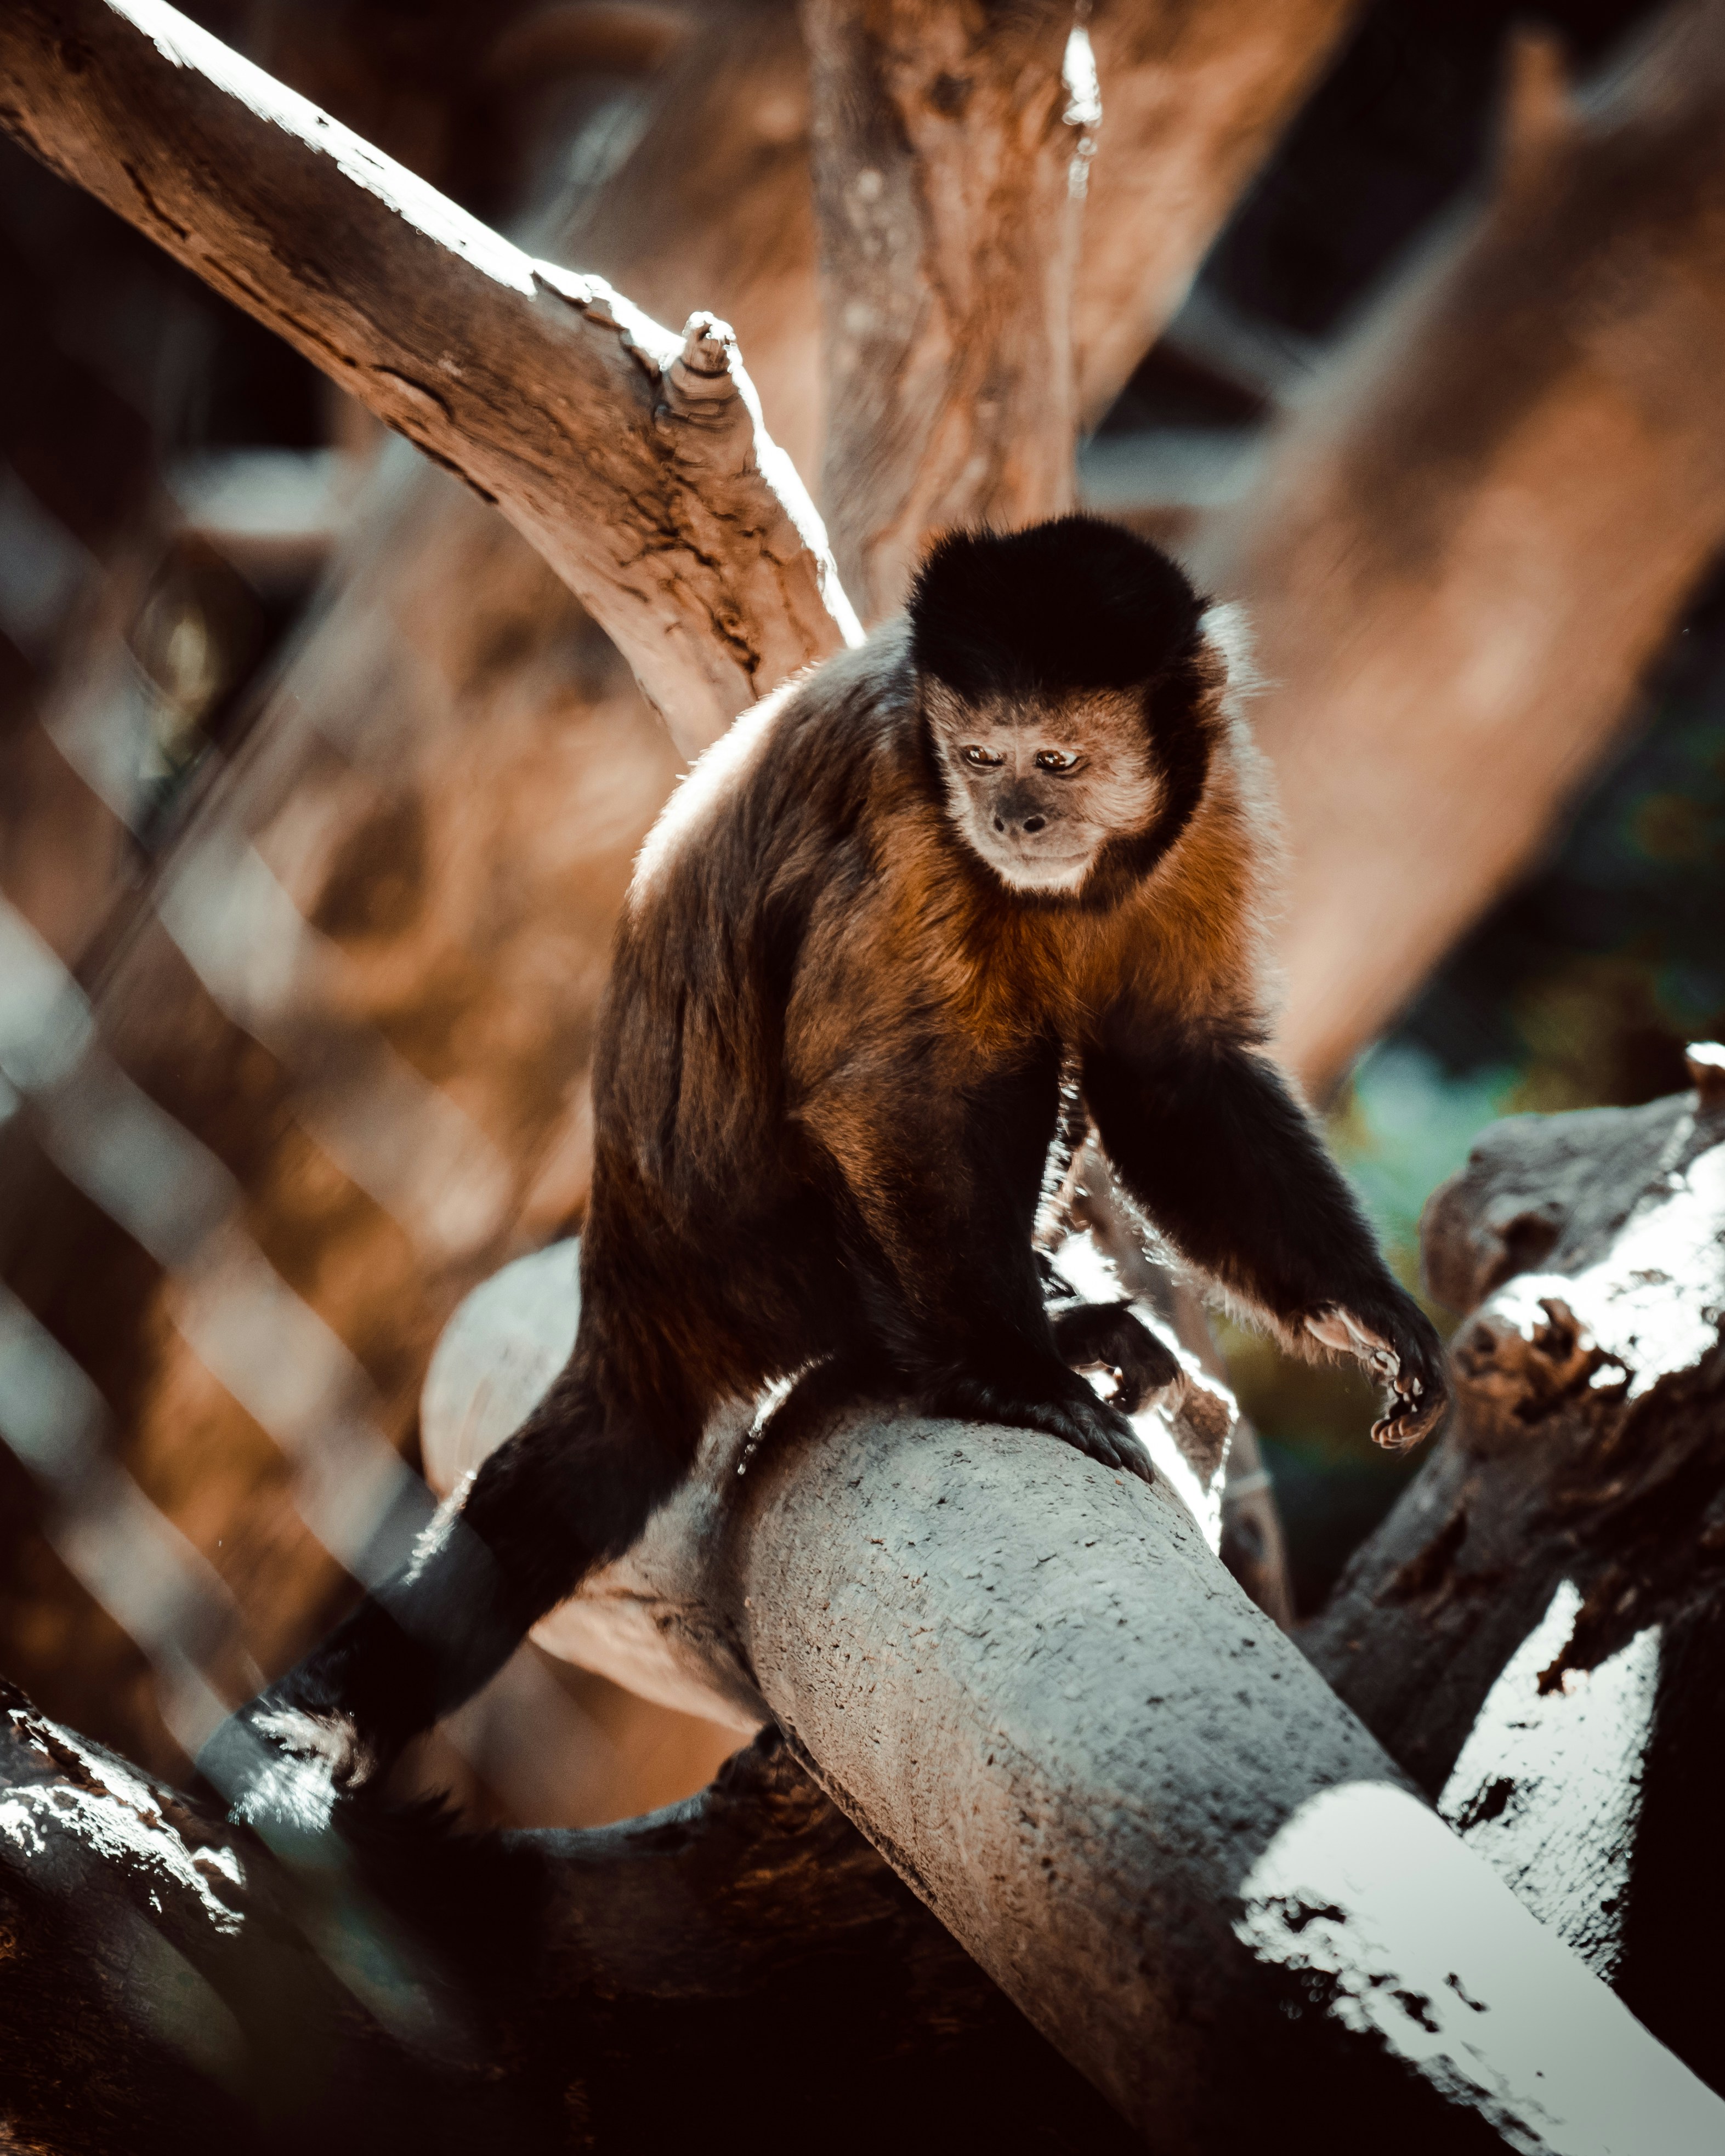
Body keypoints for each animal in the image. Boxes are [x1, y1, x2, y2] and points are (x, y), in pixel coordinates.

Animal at [210, 515, 1447, 1802]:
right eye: (978, 756)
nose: (1012, 820)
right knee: (979, 1056)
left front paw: (1363, 1310)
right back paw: (1003, 1334)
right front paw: (1016, 1375)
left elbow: (1172, 1069)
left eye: (1056, 763)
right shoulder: (912, 824)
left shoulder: (1210, 800)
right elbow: (888, 1086)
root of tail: (631, 1288)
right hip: (781, 1264)